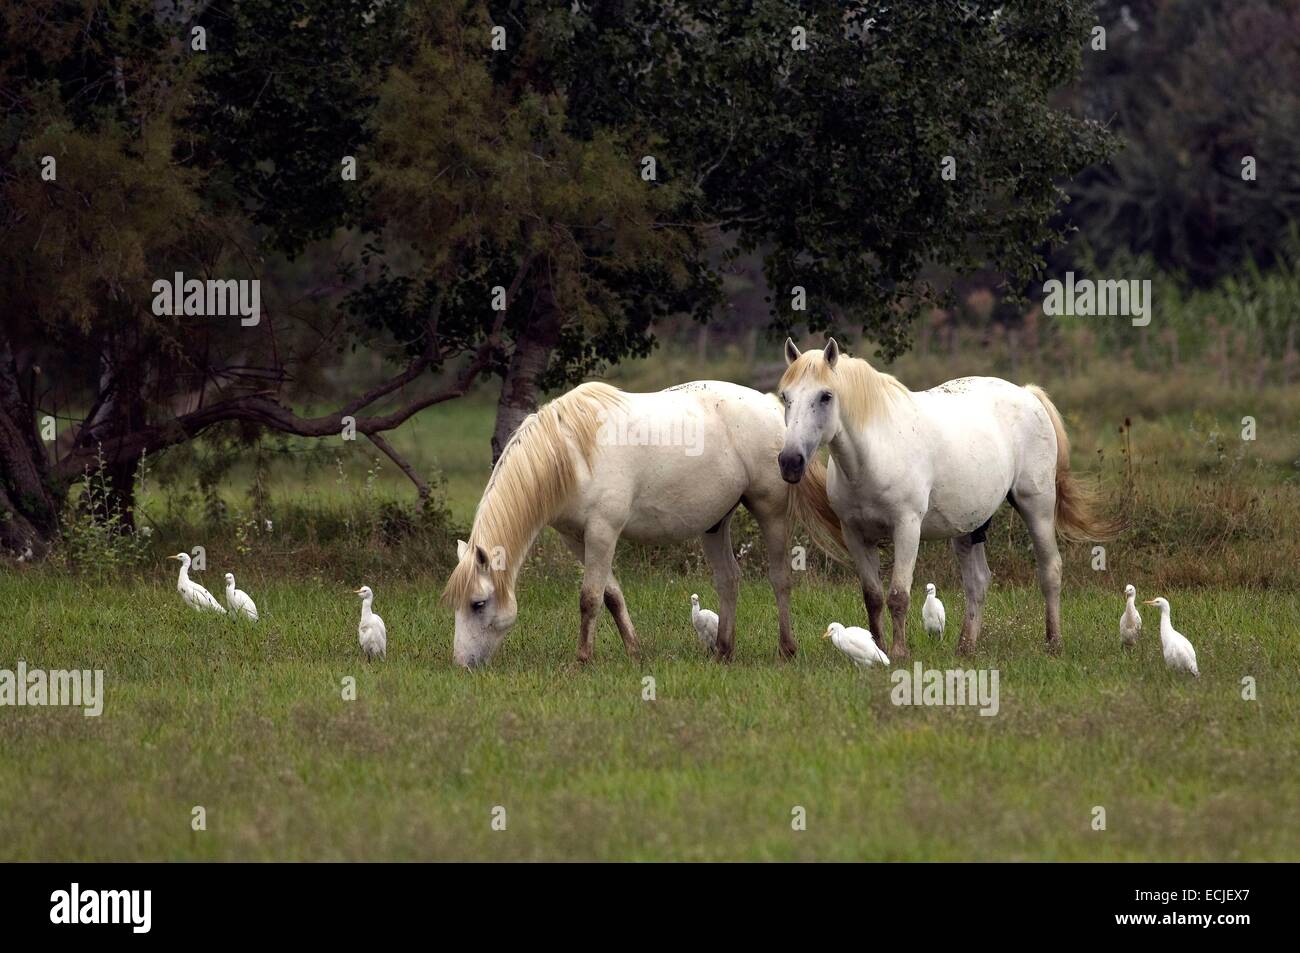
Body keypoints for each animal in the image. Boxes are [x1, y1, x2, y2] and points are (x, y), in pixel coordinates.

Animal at [443, 379, 843, 668]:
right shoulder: (577, 538)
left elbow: (590, 597)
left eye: (478, 604)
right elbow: (612, 595)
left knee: (780, 579)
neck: (572, 451)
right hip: (716, 524)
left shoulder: (603, 532)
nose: (463, 664)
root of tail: (775, 407)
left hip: (770, 511)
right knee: (728, 579)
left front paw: (582, 660)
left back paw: (786, 650)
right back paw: (722, 652)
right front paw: (634, 652)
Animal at [776, 338, 1113, 658]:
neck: (874, 451)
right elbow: (873, 597)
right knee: (978, 582)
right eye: (785, 397)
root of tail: (1027, 394)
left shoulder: (907, 528)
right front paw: (877, 649)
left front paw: (899, 653)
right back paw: (965, 647)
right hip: (969, 527)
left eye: (825, 396)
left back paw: (1053, 643)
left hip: (1037, 507)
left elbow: (898, 596)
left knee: (1050, 570)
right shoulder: (855, 534)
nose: (790, 461)